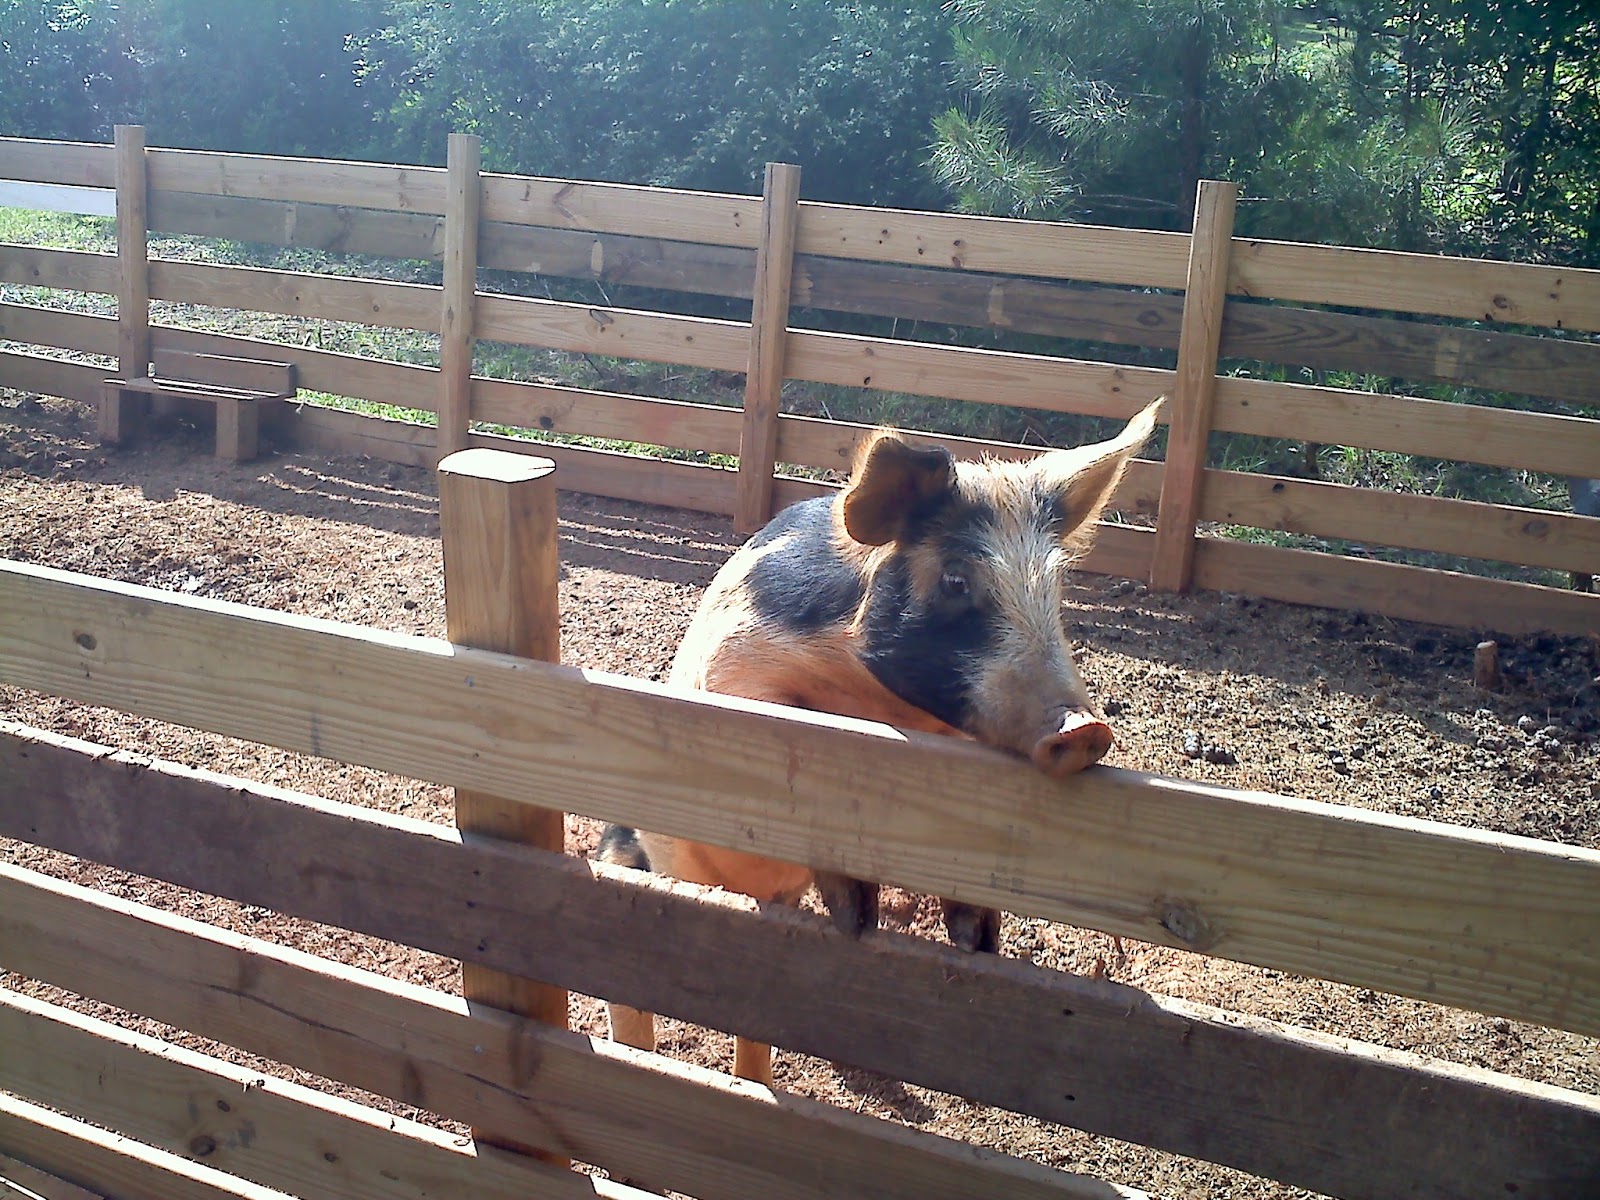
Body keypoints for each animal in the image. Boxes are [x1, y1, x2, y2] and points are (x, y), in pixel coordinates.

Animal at [596, 395, 1163, 1086]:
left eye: (1053, 587)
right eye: (955, 579)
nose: (1084, 729)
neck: (877, 703)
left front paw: (977, 940)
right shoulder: (736, 678)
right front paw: (855, 920)